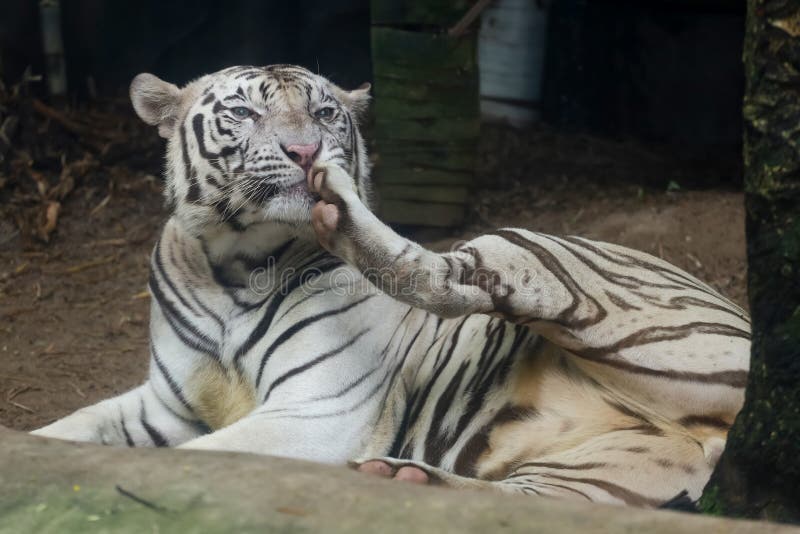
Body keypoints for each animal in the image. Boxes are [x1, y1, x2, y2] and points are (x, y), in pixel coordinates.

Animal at [32, 64, 750, 507]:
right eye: (243, 112)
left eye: (325, 112)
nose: (305, 151)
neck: (233, 264)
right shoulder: (167, 404)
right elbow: (71, 427)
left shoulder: (316, 411)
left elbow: (204, 456)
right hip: (599, 475)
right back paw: (407, 481)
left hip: (541, 248)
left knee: (447, 272)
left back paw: (342, 207)